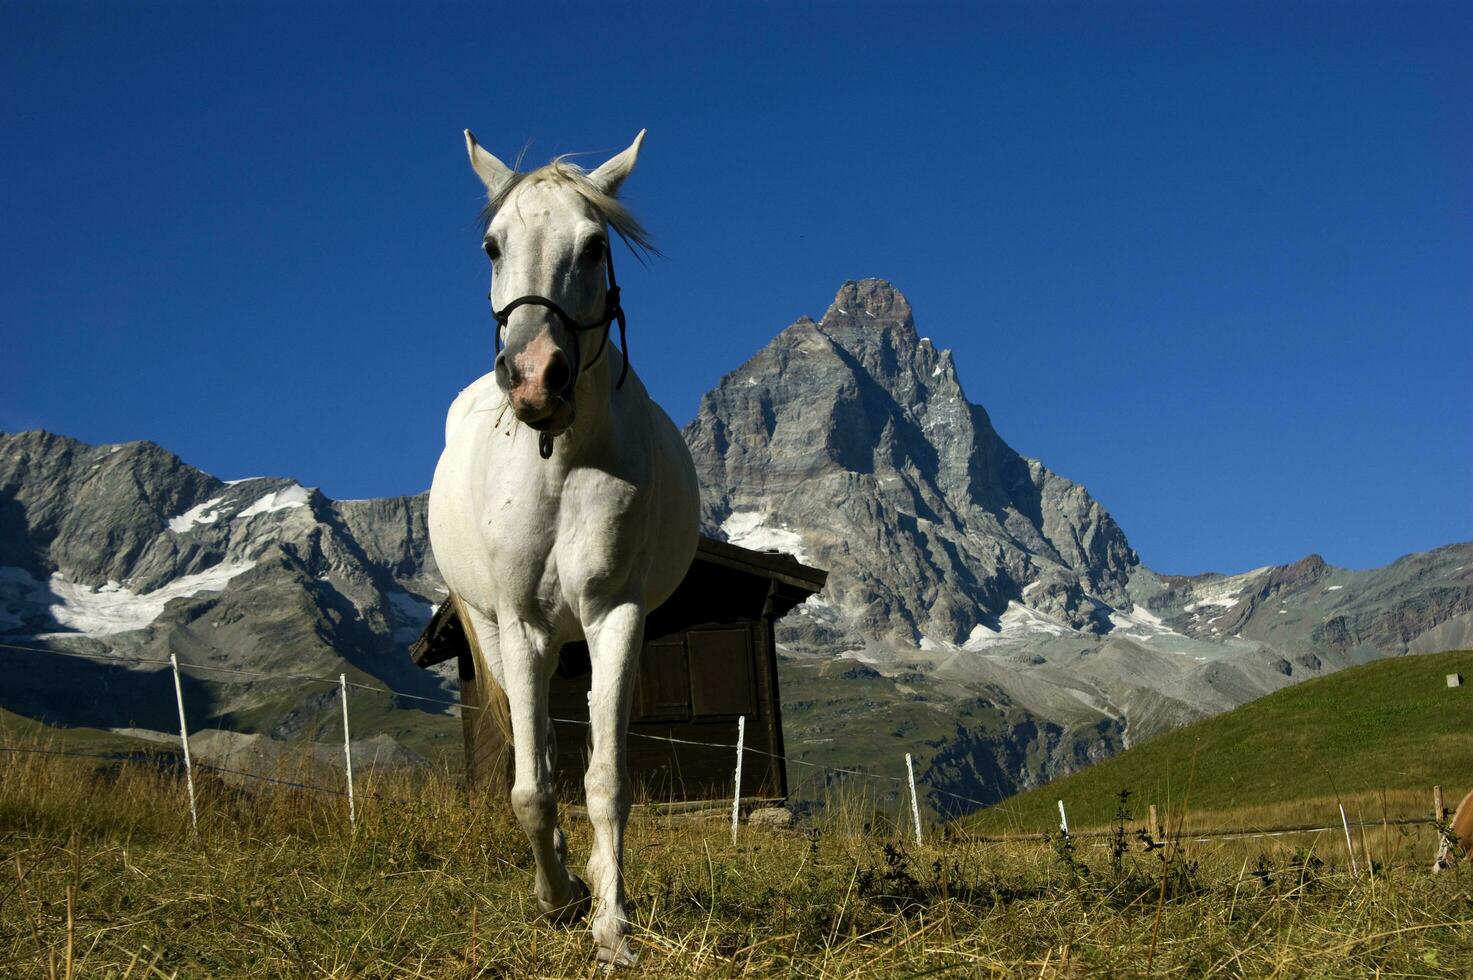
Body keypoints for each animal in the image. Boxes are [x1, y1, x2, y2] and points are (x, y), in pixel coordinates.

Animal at [430, 131, 698, 972]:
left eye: (594, 245)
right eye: (492, 245)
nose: (533, 378)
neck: (562, 458)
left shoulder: (615, 615)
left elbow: (606, 780)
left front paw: (611, 927)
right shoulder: (520, 622)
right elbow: (531, 786)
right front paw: (557, 898)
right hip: (500, 631)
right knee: (535, 747)